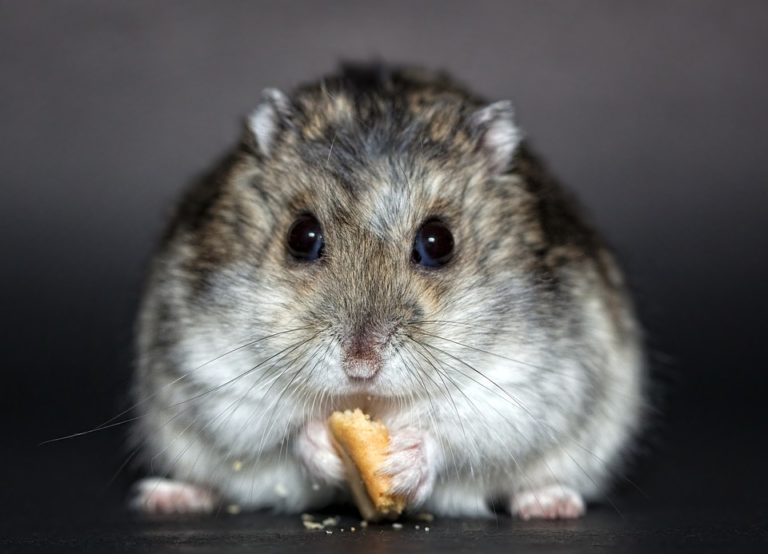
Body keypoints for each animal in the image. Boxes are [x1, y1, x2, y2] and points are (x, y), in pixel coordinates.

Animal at [130, 64, 645, 519]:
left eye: (438, 242)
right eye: (301, 237)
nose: (361, 366)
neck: (373, 402)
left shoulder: (526, 383)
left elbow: (458, 432)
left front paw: (401, 462)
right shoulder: (213, 372)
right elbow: (281, 430)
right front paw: (324, 444)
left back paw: (550, 504)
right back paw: (168, 496)